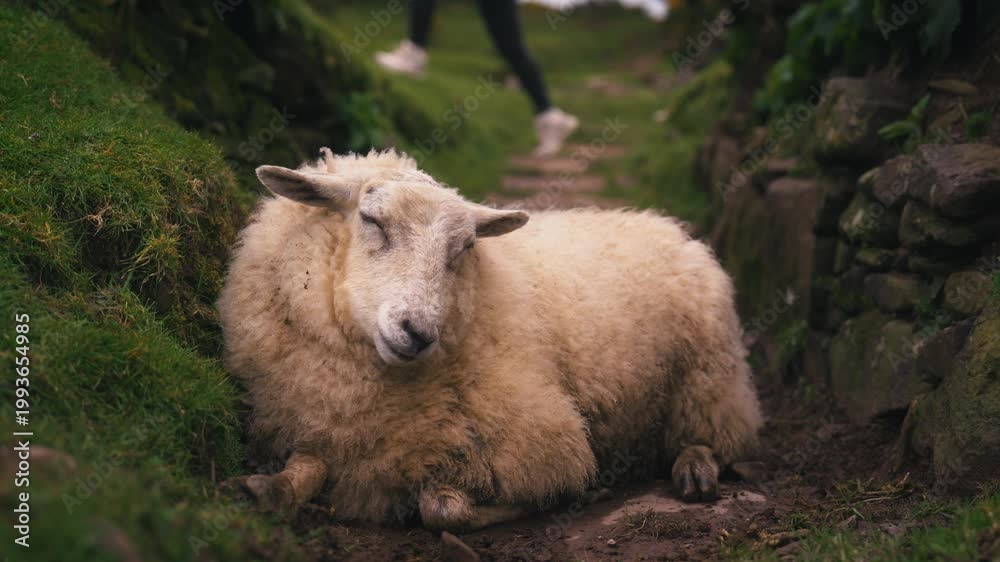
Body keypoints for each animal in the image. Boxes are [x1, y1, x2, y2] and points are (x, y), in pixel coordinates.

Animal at [217, 148, 763, 532]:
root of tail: (663, 222)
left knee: (716, 434)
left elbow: (443, 509)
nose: (418, 332)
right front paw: (266, 489)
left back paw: (695, 469)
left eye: (463, 248)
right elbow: (303, 467)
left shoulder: (543, 441)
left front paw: (575, 496)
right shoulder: (322, 431)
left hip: (708, 374)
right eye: (371, 220)